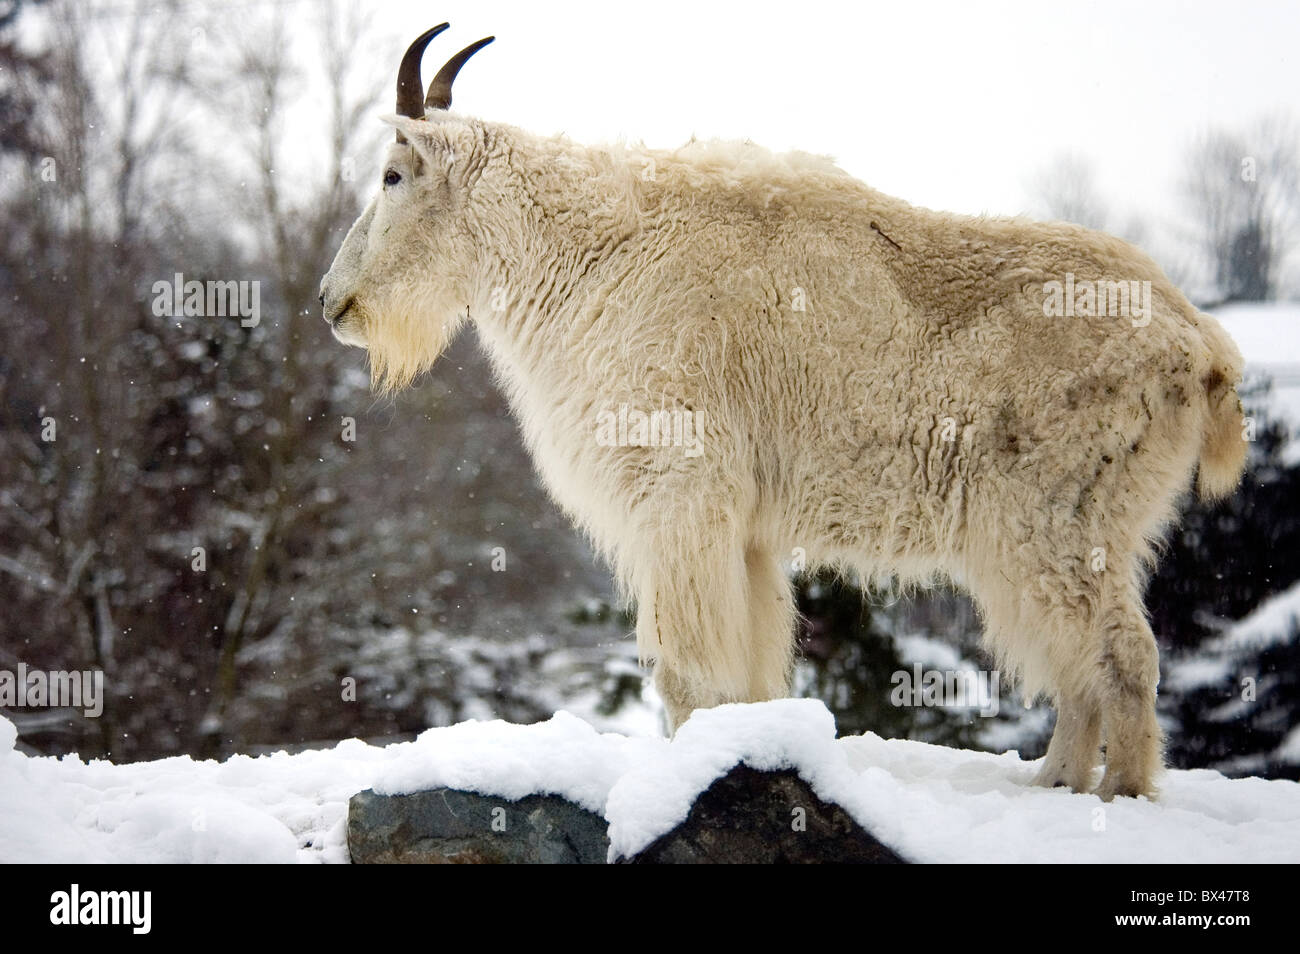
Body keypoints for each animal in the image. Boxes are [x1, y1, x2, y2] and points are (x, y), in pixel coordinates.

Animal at [319, 24, 1248, 799]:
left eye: (393, 176)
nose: (333, 302)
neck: (593, 255)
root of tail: (1201, 344)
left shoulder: (680, 496)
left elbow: (686, 671)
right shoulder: (749, 534)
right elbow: (755, 672)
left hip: (1055, 522)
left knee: (1122, 654)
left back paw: (1117, 795)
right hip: (1059, 539)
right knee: (1079, 662)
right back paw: (1054, 783)